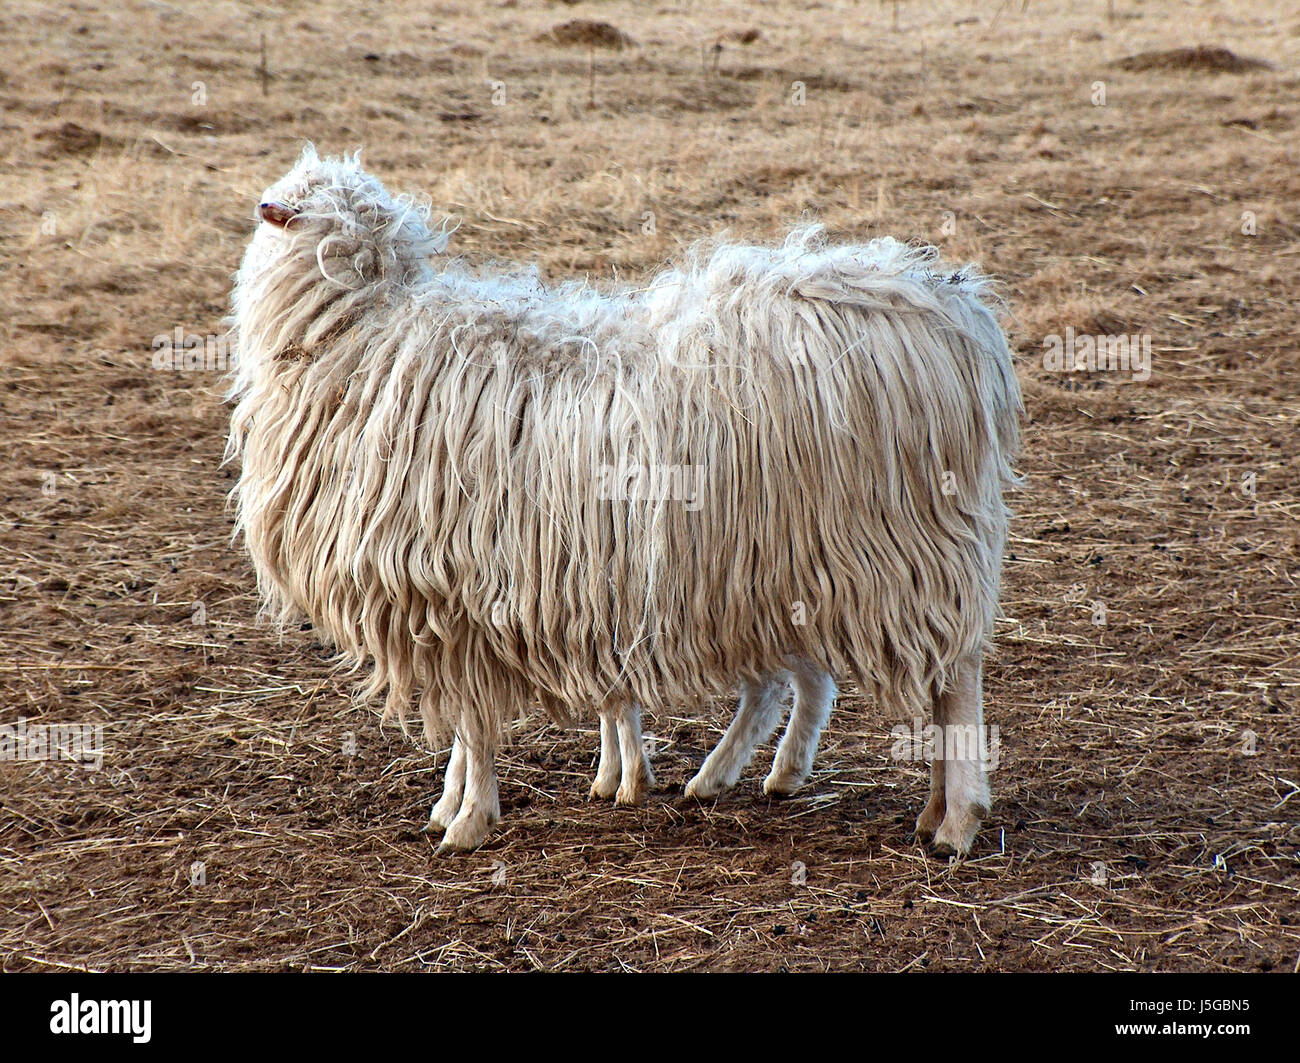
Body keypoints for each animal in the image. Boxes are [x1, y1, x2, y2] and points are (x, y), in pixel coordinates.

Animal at [227, 146, 1022, 855]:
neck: (359, 338)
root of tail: (957, 312)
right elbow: (466, 723)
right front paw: (453, 804)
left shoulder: (452, 594)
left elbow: (475, 724)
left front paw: (468, 820)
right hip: (798, 562)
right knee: (859, 680)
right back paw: (846, 794)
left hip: (907, 547)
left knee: (956, 680)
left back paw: (956, 818)